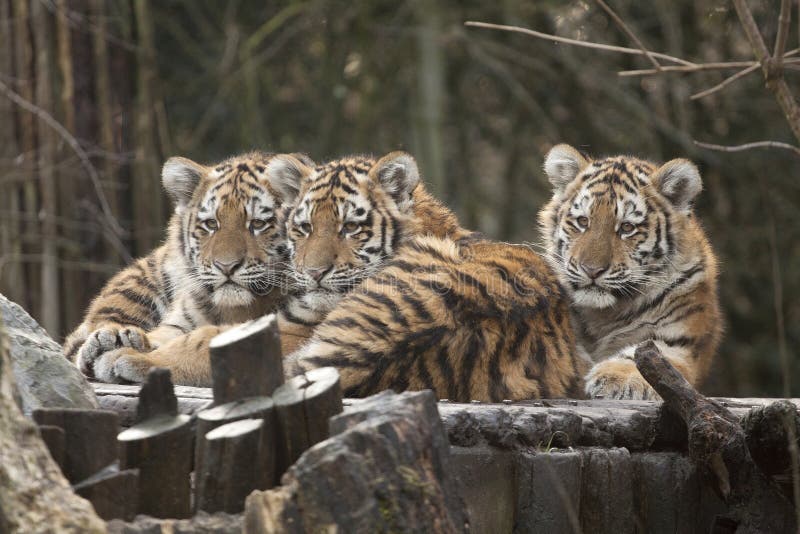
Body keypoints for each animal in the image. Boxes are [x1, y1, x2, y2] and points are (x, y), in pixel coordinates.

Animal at [64, 151, 307, 385]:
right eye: (211, 224)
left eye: (258, 223)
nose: (226, 266)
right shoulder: (180, 320)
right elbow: (167, 335)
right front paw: (117, 341)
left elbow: (198, 344)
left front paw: (126, 355)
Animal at [538, 143, 722, 400]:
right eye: (583, 222)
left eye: (627, 227)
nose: (591, 270)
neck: (603, 315)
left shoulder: (680, 343)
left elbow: (645, 356)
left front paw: (616, 377)